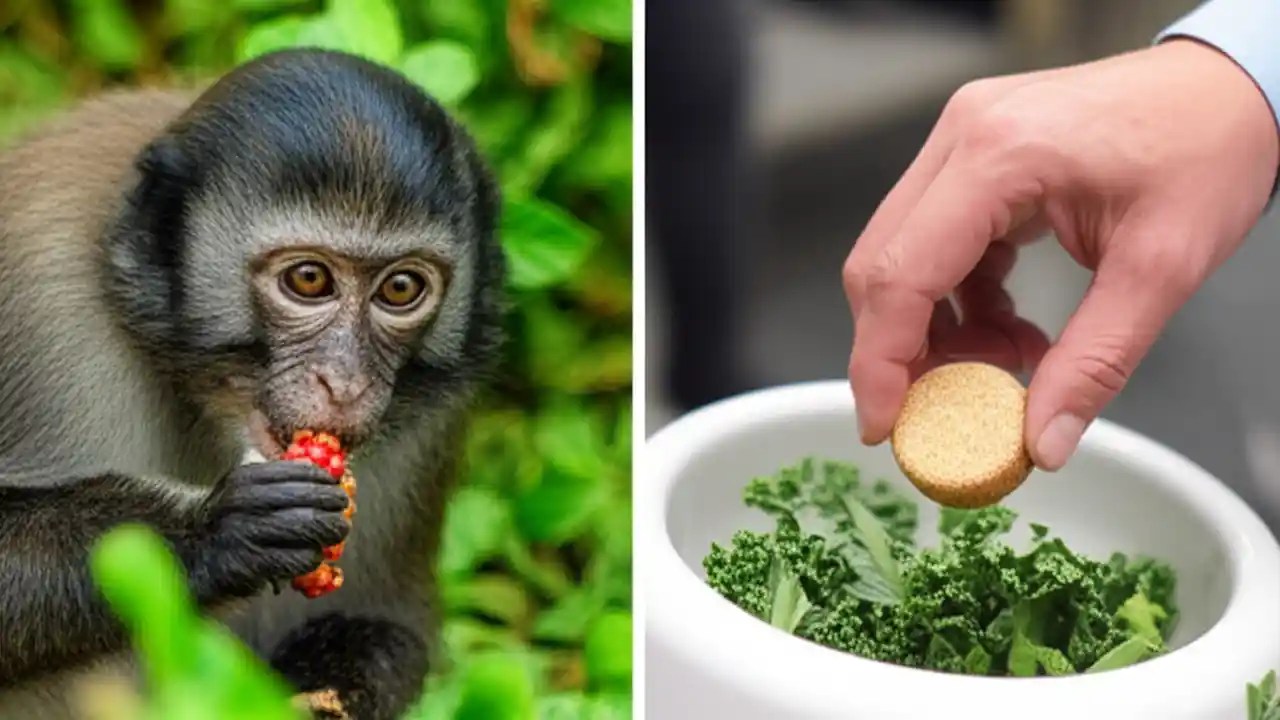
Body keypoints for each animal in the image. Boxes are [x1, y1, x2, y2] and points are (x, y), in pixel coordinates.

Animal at [0, 47, 505, 719]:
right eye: (309, 280)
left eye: (400, 289)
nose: (344, 382)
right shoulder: (39, 301)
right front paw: (215, 532)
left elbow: (391, 626)